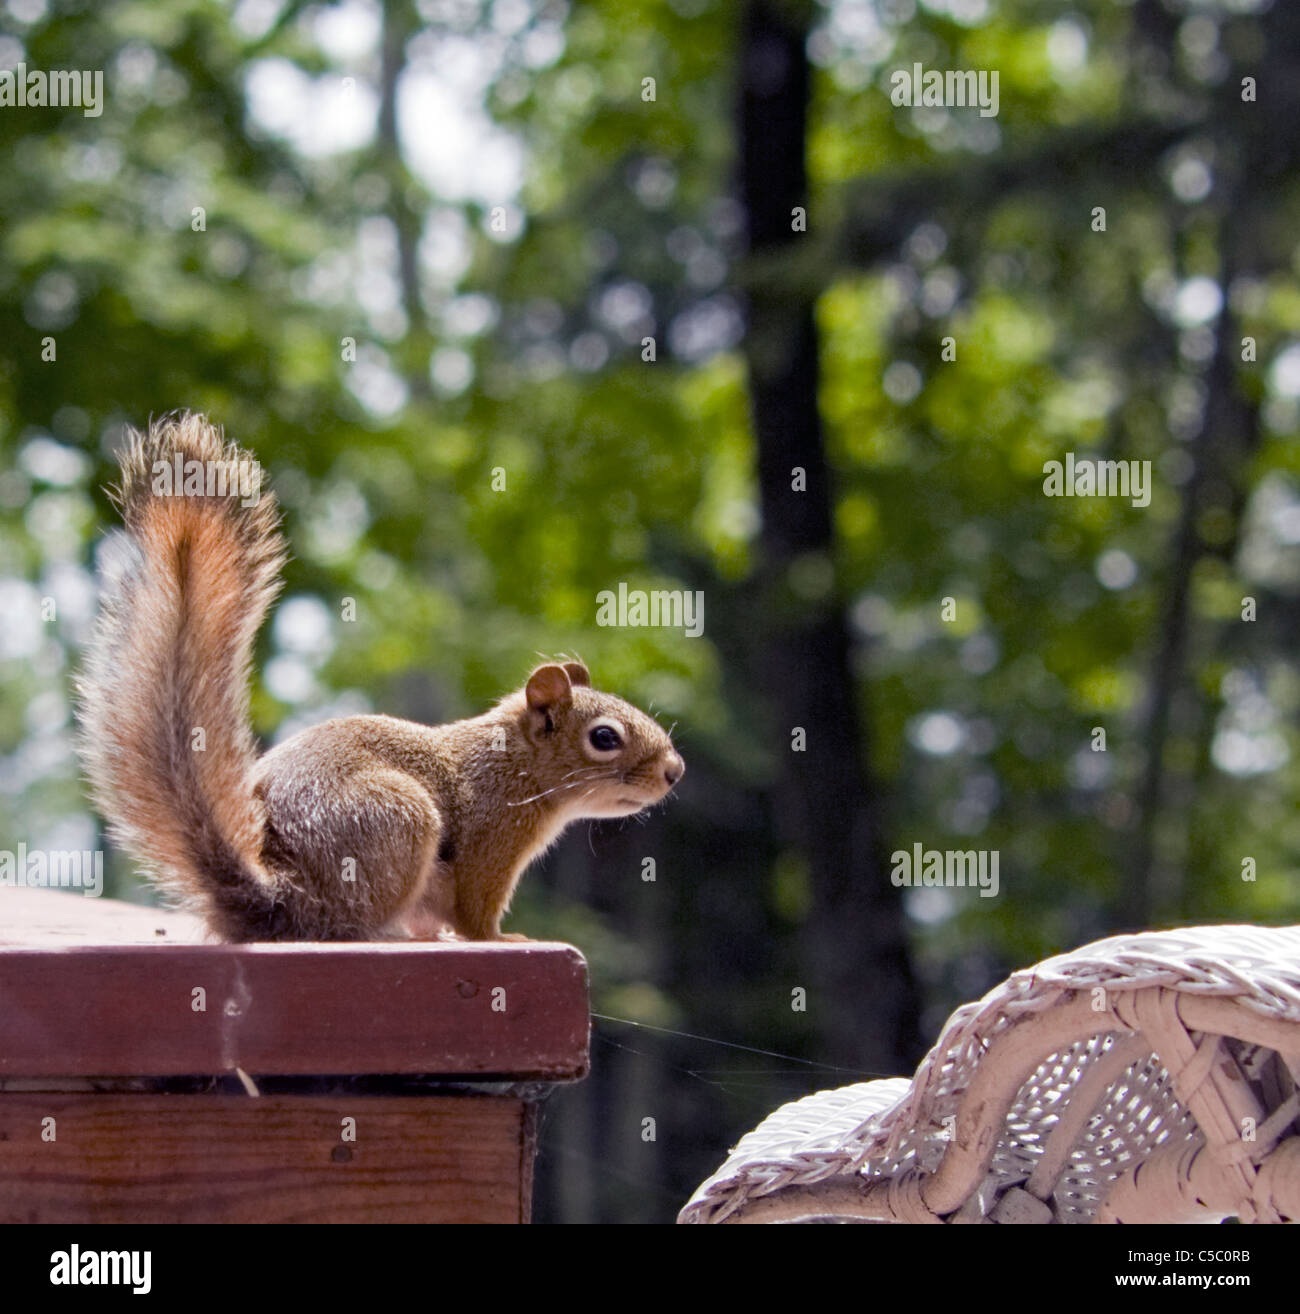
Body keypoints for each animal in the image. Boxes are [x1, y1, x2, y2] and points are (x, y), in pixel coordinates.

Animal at [76, 413, 684, 943]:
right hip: (399, 819)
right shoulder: (492, 839)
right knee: (345, 926)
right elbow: (476, 910)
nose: (674, 772)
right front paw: (502, 938)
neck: (514, 764)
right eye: (604, 738)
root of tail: (284, 899)